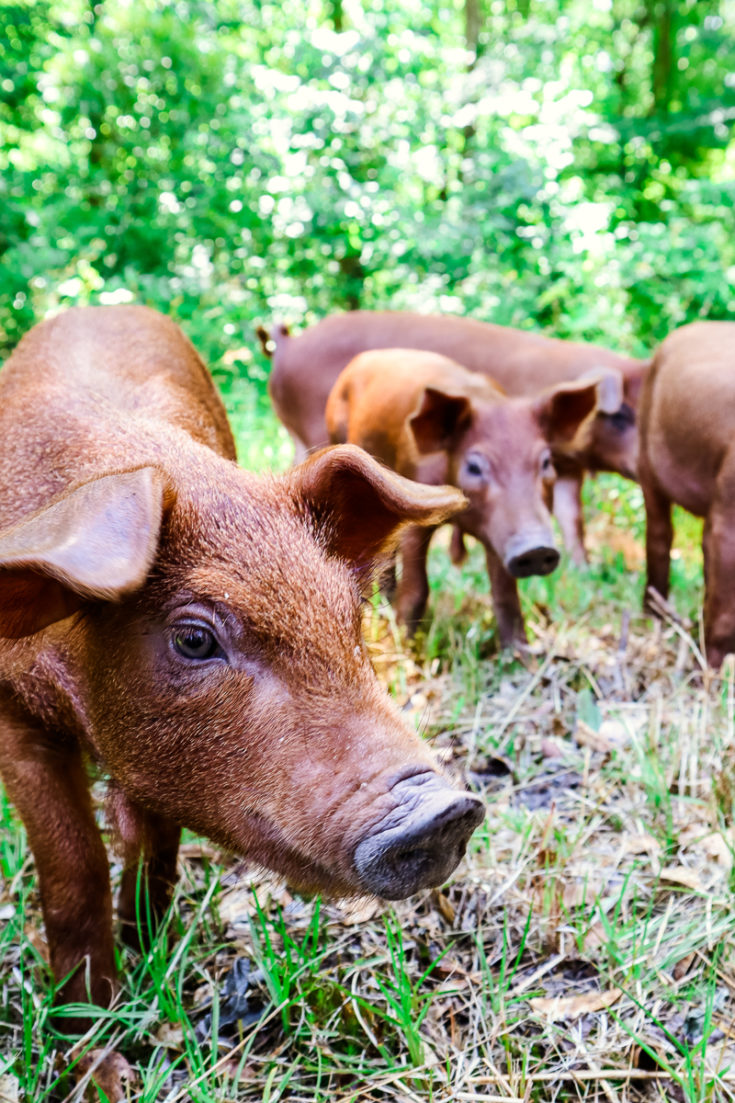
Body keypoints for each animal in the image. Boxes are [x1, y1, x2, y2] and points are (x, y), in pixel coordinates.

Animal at [0, 305, 484, 1030]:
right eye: (194, 638)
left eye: (347, 615)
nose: (444, 810)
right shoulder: (13, 712)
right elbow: (72, 868)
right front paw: (90, 1038)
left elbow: (157, 839)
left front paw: (149, 949)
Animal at [258, 310, 649, 565]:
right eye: (623, 415)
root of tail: (288, 344)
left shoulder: (566, 467)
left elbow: (572, 518)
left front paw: (582, 568)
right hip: (314, 428)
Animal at [326, 347, 618, 647]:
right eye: (474, 467)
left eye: (546, 462)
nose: (536, 549)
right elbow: (417, 589)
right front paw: (406, 647)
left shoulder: (499, 533)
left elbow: (505, 595)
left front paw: (520, 654)